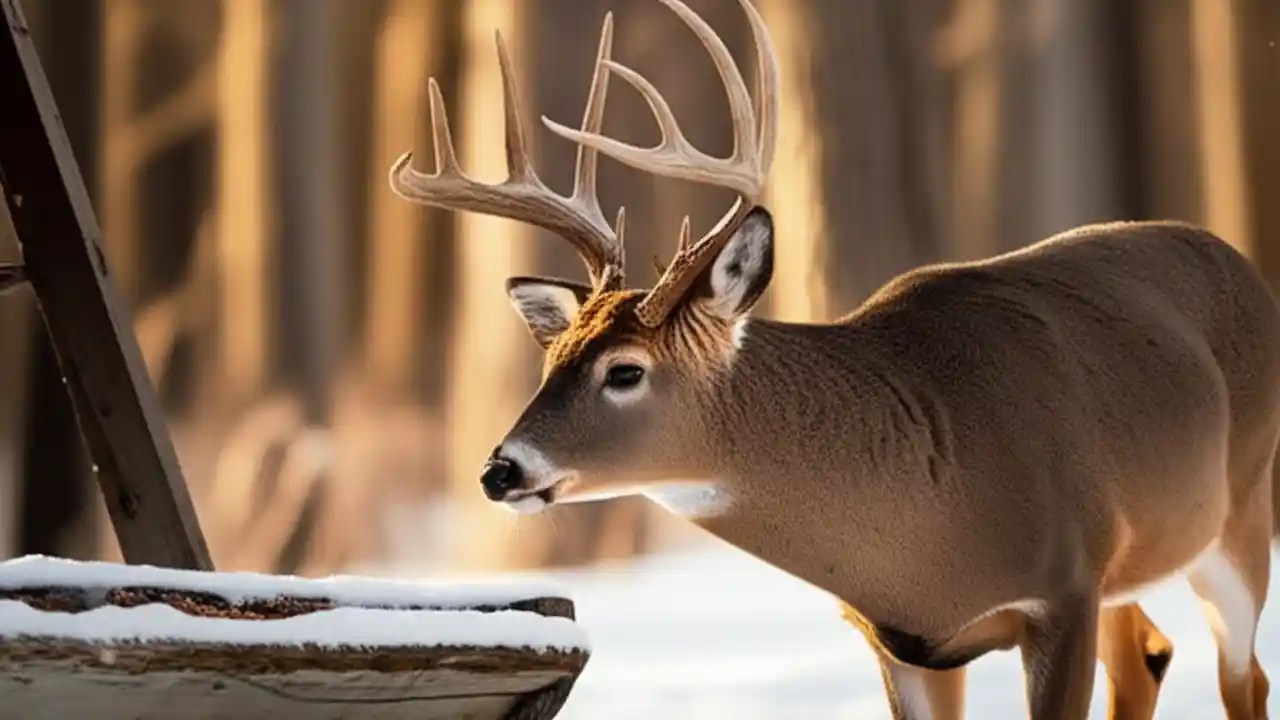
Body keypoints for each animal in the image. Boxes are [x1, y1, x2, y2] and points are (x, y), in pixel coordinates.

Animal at [388, 1, 1280, 718]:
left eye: (625, 371)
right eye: (552, 364)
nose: (500, 469)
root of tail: (1237, 260)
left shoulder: (1061, 589)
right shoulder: (899, 638)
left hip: (1240, 507)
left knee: (1245, 678)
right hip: (1141, 557)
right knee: (1148, 657)